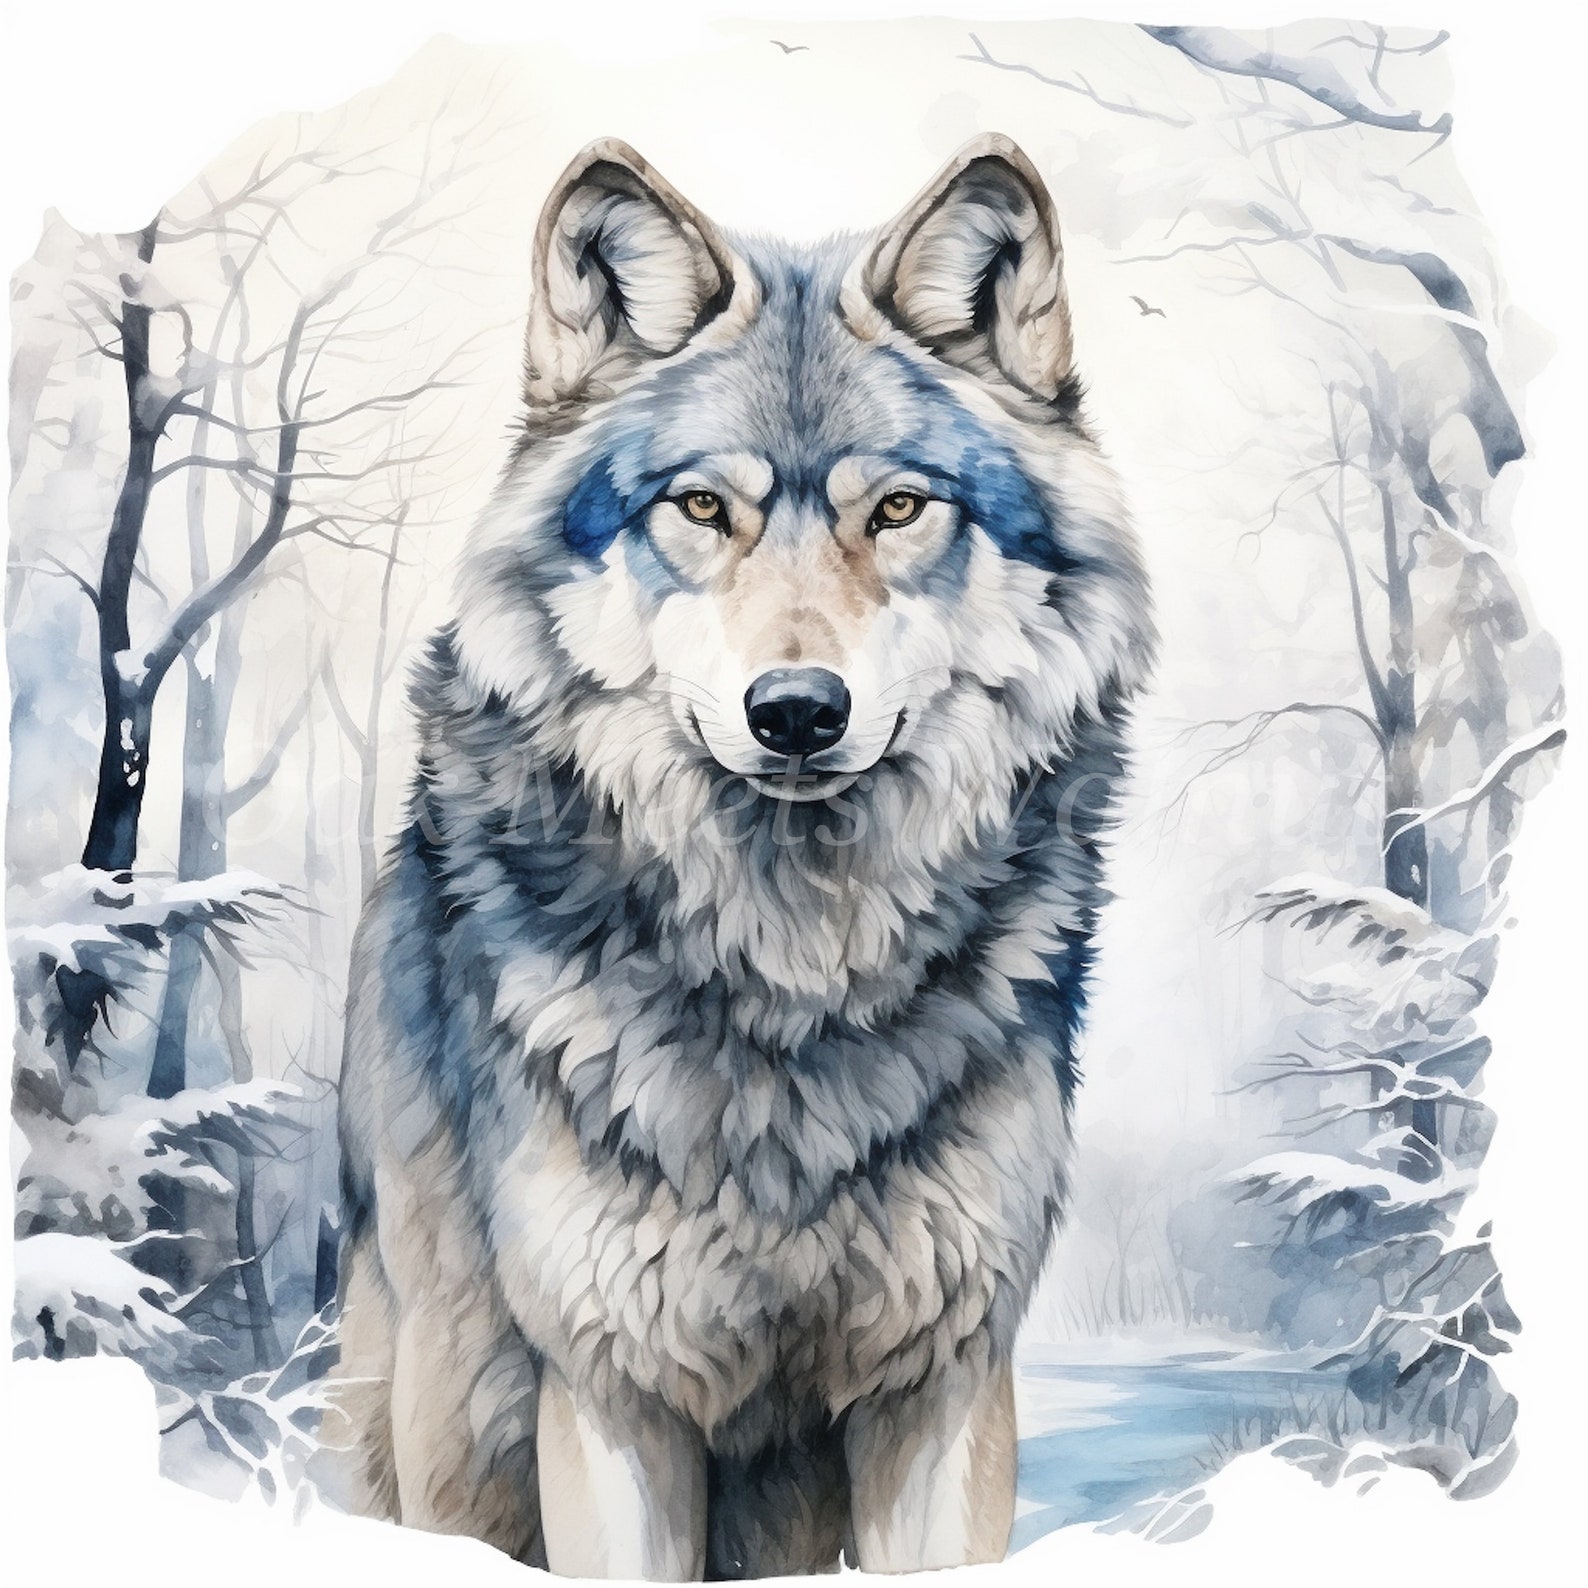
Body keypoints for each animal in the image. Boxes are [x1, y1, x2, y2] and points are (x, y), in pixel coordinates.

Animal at [325, 133, 1154, 1579]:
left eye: (898, 508)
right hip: (451, 1423)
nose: (798, 712)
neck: (794, 979)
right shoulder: (609, 1388)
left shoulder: (944, 1379)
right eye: (704, 506)